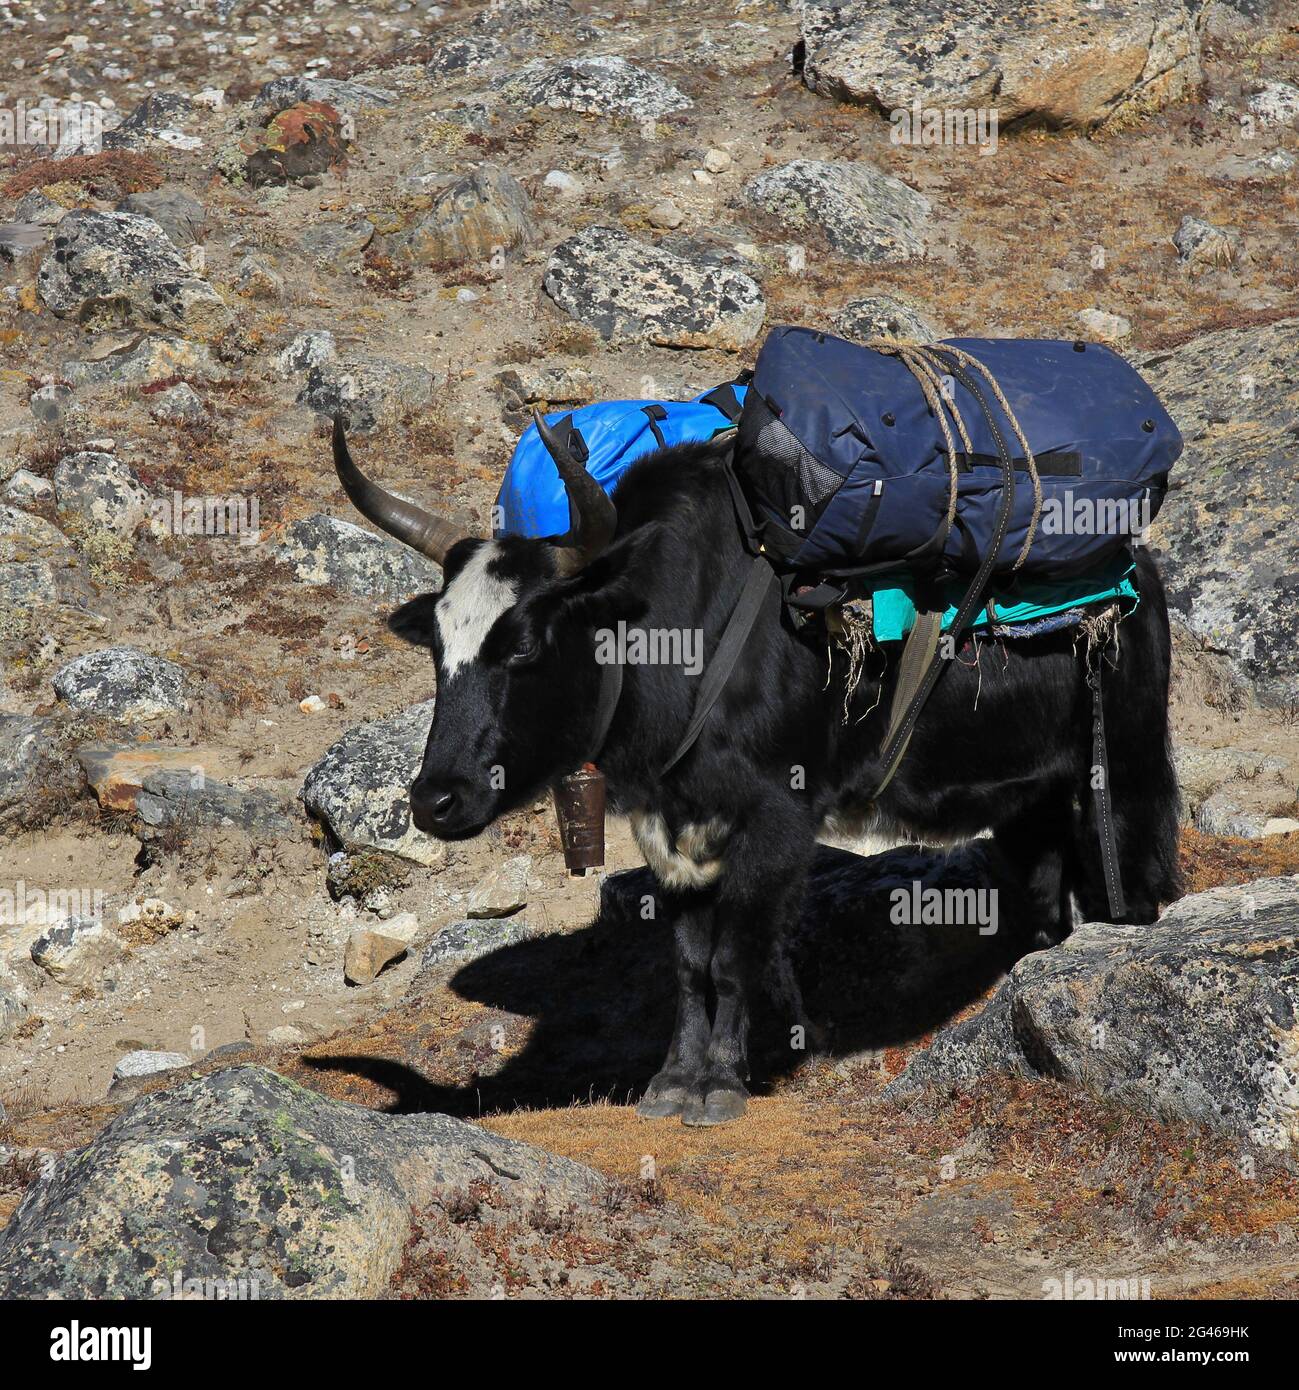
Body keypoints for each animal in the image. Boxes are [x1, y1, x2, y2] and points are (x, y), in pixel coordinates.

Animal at [328, 412, 1181, 1126]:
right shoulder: (670, 829)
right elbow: (688, 961)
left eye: (527, 643)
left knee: (1129, 882)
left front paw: (717, 1088)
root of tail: (1136, 567)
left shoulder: (774, 820)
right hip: (1024, 801)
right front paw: (671, 1082)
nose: (436, 801)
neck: (674, 634)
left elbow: (733, 954)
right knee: (1042, 889)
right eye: (437, 648)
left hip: (1123, 766)